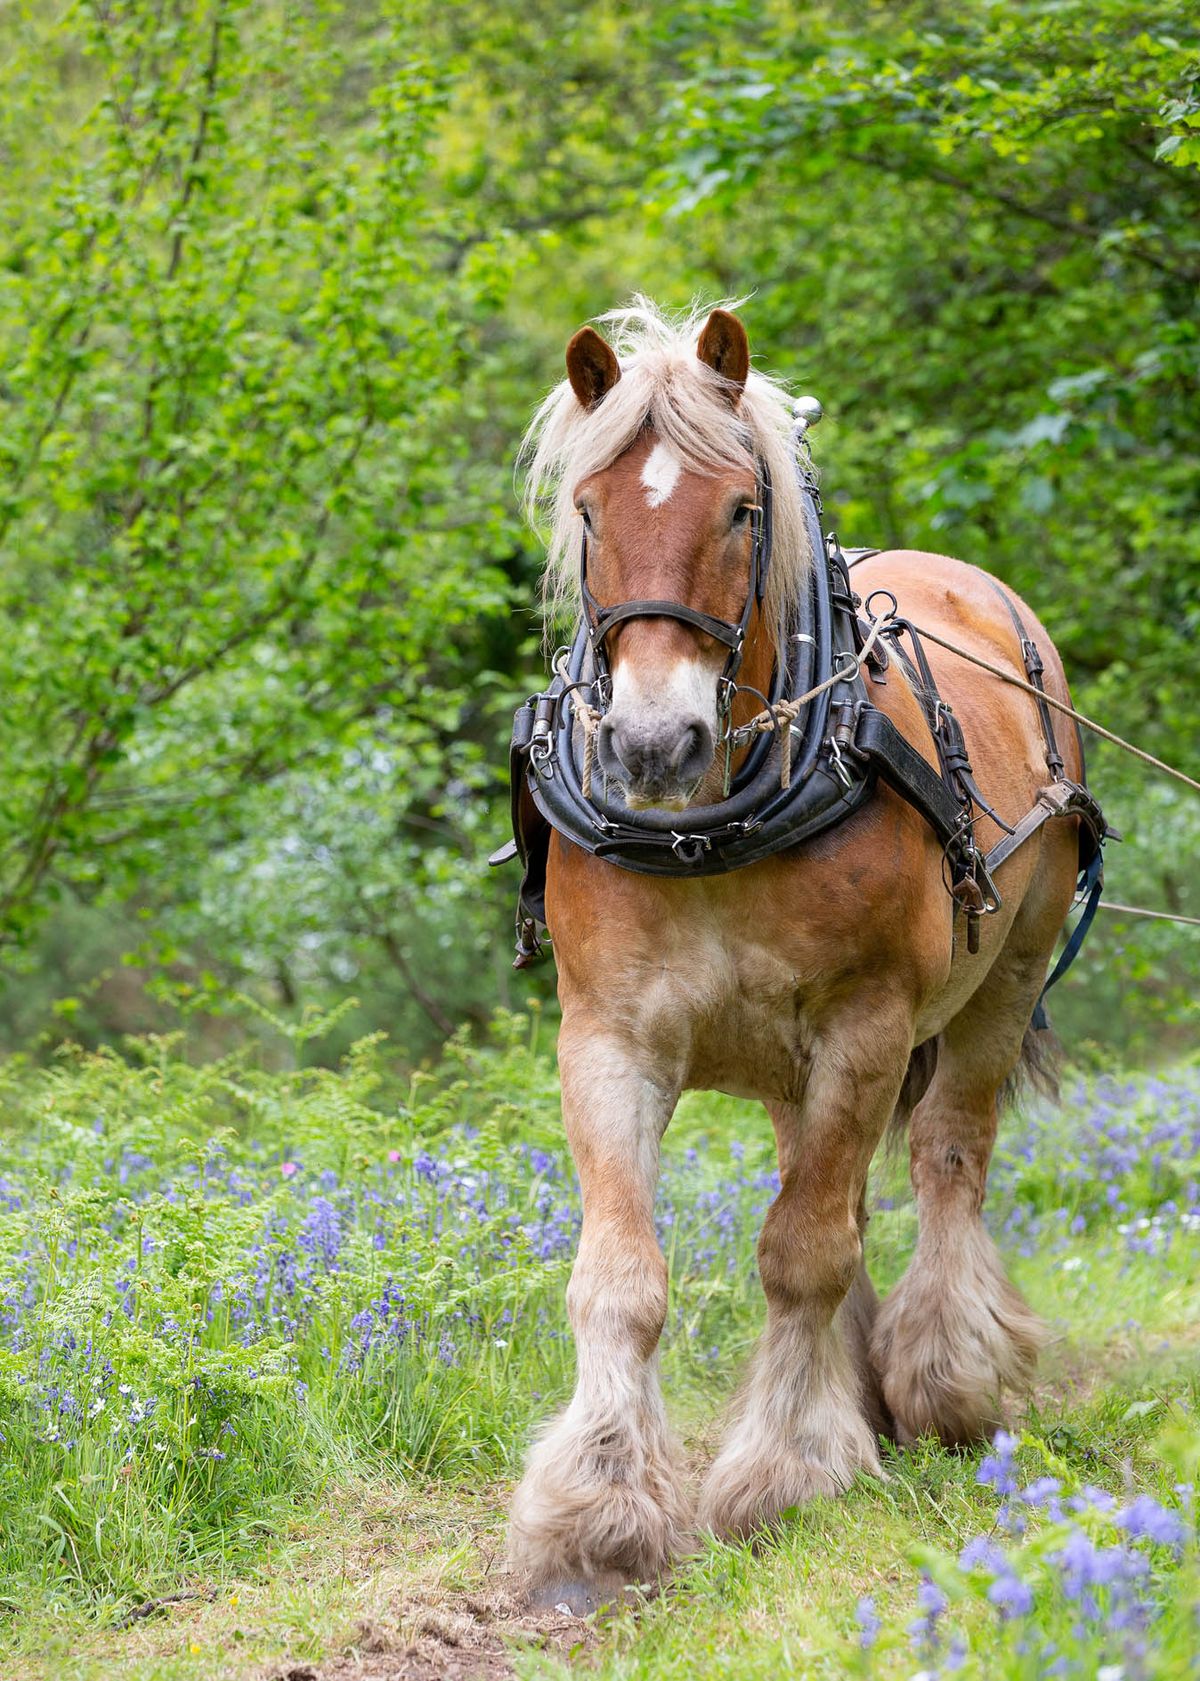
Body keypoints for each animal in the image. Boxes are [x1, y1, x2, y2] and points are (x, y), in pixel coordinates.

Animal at [506, 298, 1089, 1613]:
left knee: (943, 1159)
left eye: (738, 509)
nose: (654, 742)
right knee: (842, 1188)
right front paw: (596, 1513)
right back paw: (861, 1390)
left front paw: (786, 1473)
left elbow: (801, 1254)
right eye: (589, 511)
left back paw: (945, 1380)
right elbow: (620, 1277)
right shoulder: (606, 1036)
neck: (709, 824)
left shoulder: (867, 1024)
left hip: (998, 979)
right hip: (788, 1062)